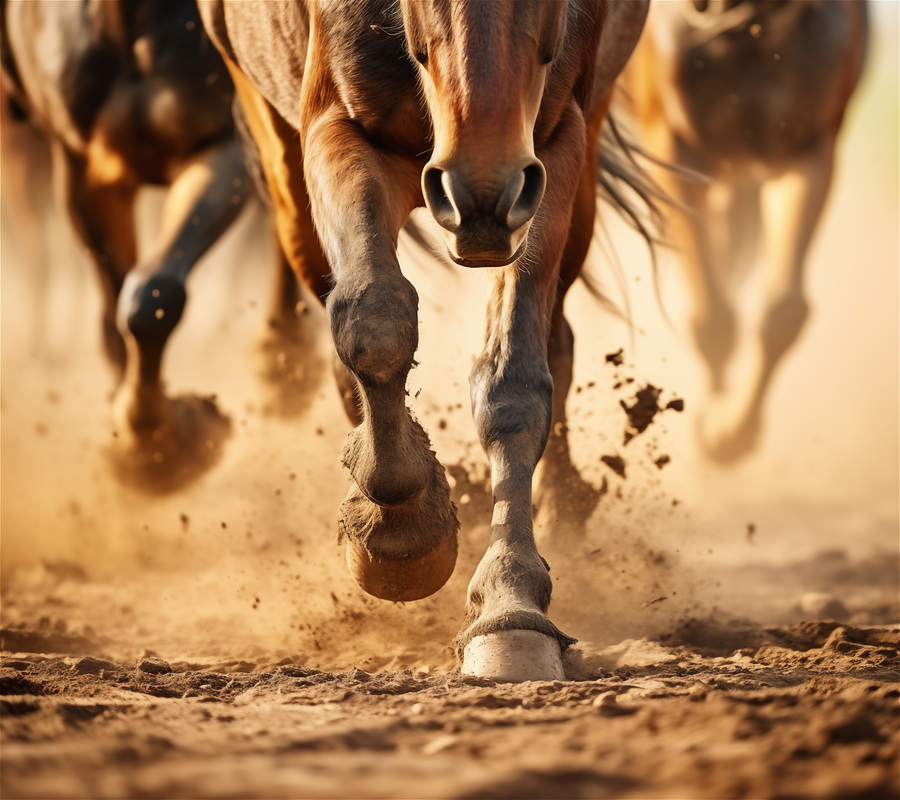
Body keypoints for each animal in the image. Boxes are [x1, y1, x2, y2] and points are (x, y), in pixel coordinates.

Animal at [1, 0, 304, 490]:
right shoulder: (87, 173)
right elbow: (119, 304)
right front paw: (140, 438)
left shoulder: (224, 145)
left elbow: (153, 295)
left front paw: (164, 441)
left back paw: (282, 364)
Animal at [198, 0, 649, 681]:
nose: (482, 192)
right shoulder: (337, 127)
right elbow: (372, 319)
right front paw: (402, 532)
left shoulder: (554, 146)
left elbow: (513, 381)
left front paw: (510, 607)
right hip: (282, 165)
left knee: (558, 339)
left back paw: (562, 507)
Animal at [624, 0, 869, 461]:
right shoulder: (676, 148)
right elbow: (712, 313)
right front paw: (713, 418)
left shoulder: (805, 150)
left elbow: (784, 309)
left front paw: (733, 428)